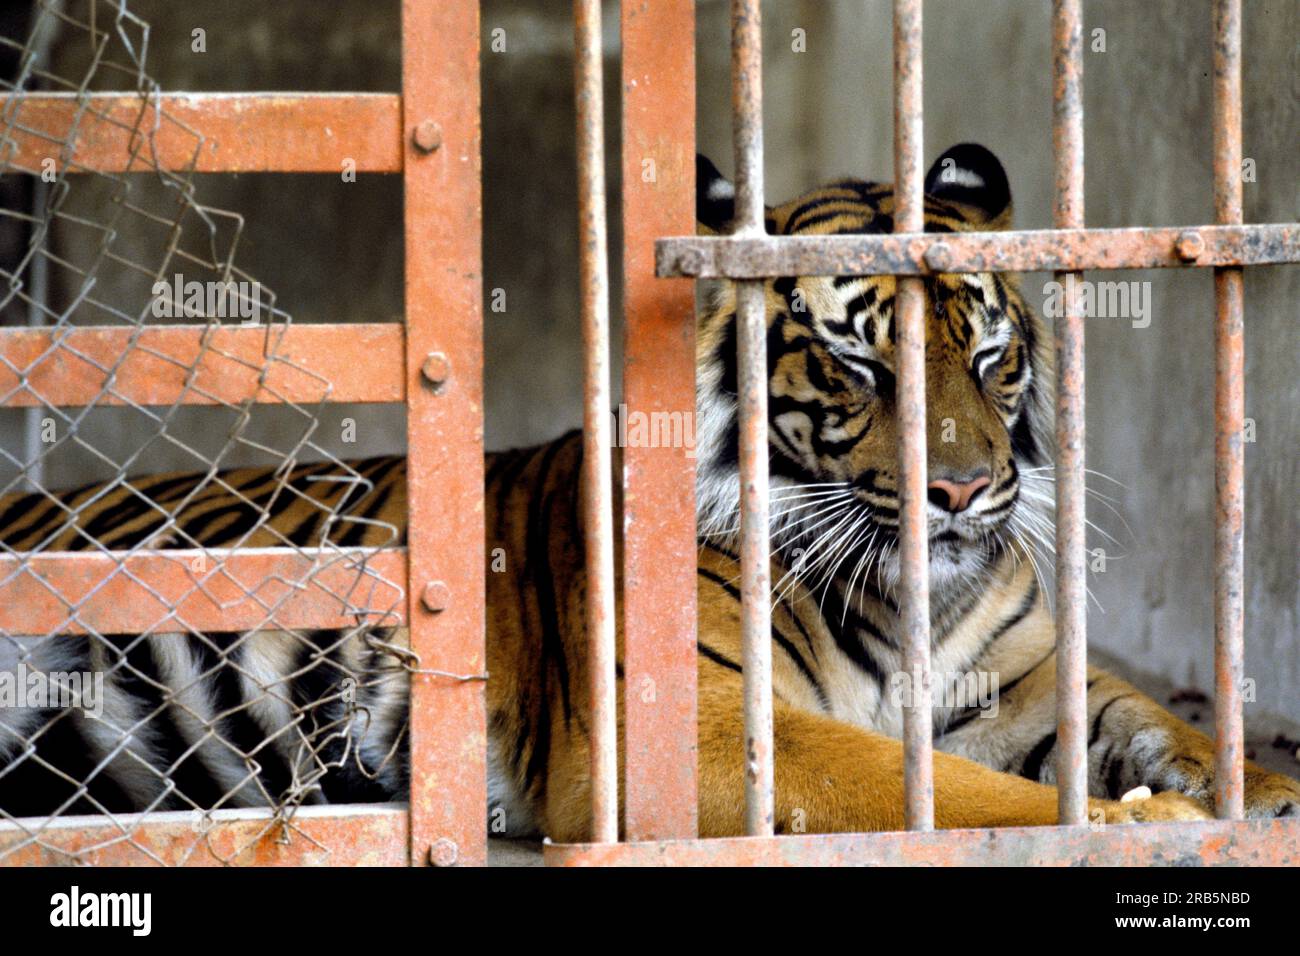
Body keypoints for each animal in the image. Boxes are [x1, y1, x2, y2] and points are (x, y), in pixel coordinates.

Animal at [2, 142, 1297, 842]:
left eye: (987, 355)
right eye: (859, 361)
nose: (966, 490)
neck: (902, 596)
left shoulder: (1026, 678)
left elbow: (1154, 719)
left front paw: (1261, 789)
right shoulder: (704, 727)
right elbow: (944, 792)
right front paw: (1152, 824)